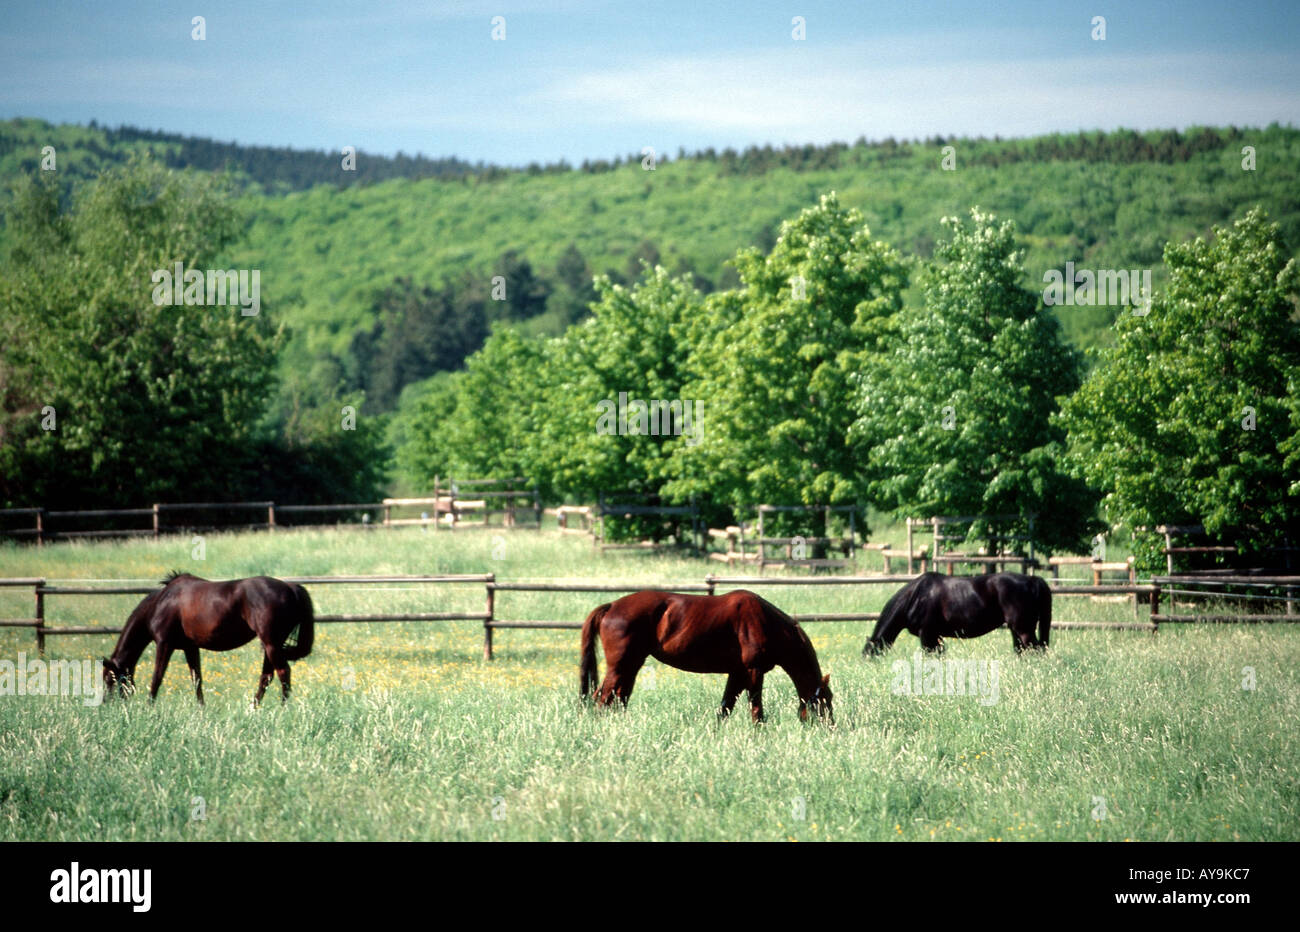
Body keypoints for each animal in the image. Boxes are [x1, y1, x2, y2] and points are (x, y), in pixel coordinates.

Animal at [103, 572, 315, 705]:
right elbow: (197, 680)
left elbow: (157, 677)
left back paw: (282, 707)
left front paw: (149, 706)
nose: (106, 704)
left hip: (271, 644)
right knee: (267, 677)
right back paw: (253, 708)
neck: (160, 603)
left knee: (283, 672)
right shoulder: (190, 648)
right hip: (271, 645)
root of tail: (291, 587)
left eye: (109, 678)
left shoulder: (164, 644)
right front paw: (201, 709)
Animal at [579, 589, 832, 723]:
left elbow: (725, 707)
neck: (765, 621)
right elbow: (756, 709)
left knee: (618, 698)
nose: (830, 728)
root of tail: (611, 606)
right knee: (602, 698)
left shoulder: (737, 673)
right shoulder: (753, 672)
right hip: (620, 667)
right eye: (825, 700)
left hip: (630, 666)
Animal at [863, 572, 1051, 656]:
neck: (916, 596)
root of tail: (1032, 579)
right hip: (1016, 630)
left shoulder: (927, 635)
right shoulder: (936, 636)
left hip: (1023, 629)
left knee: (1036, 650)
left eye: (870, 654)